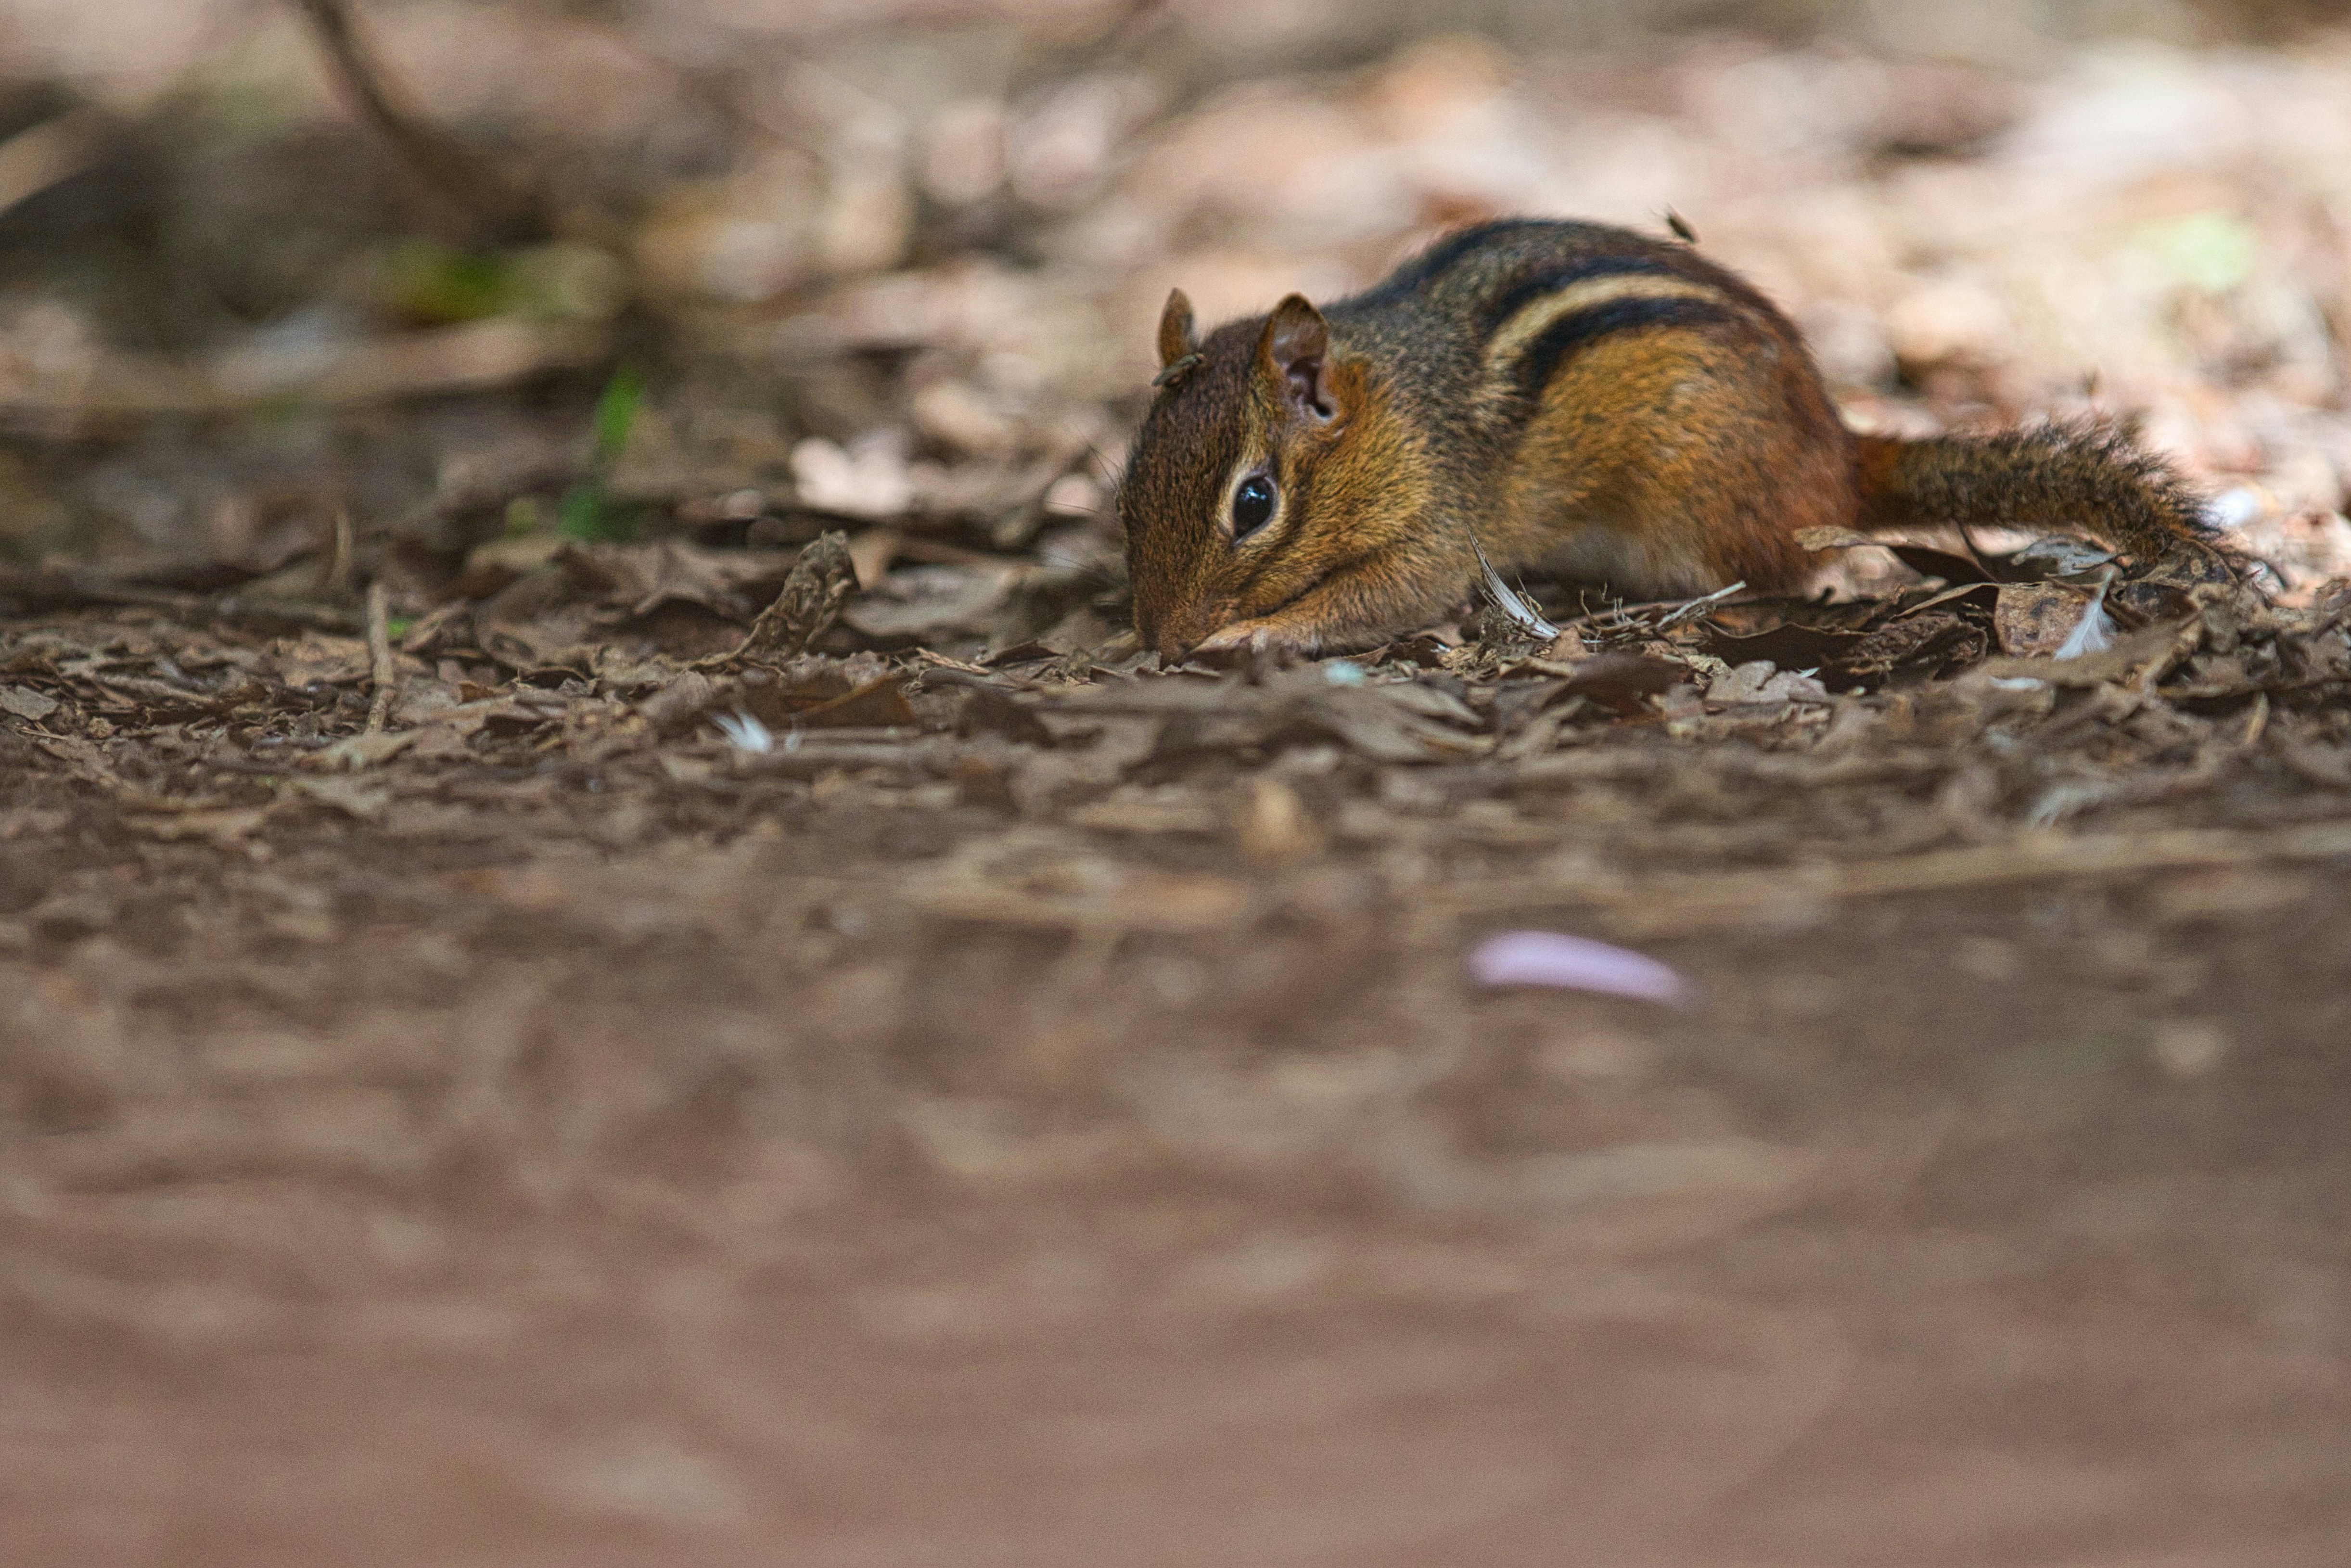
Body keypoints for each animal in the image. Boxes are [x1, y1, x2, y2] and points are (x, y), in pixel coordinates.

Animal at [1117, 217, 2228, 661]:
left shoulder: (1435, 523)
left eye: (1254, 502)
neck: (1392, 406)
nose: (1159, 639)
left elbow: (1380, 596)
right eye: (1125, 496)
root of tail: (1839, 451)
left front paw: (1250, 632)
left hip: (1695, 506)